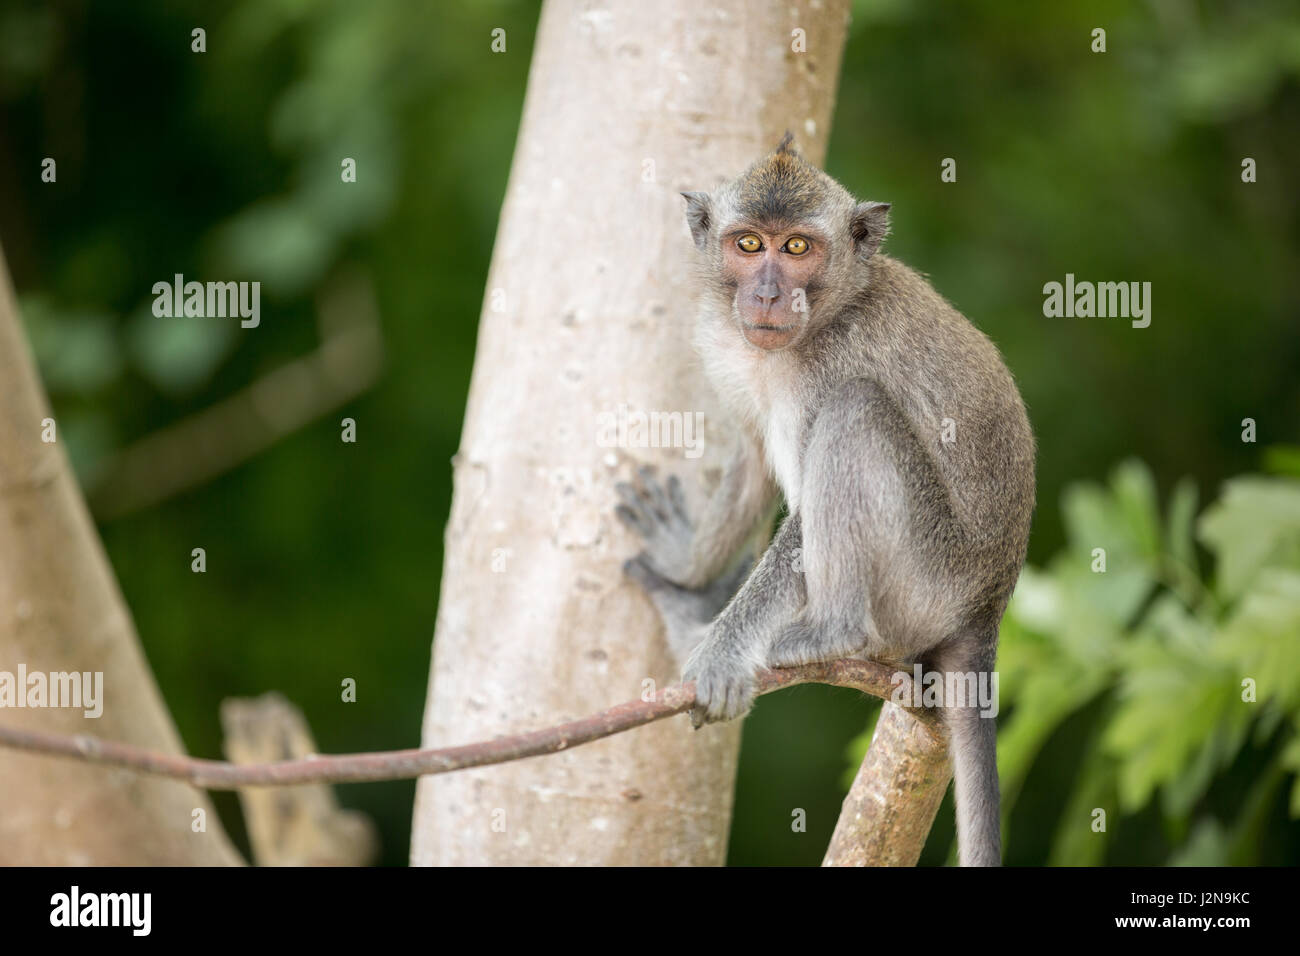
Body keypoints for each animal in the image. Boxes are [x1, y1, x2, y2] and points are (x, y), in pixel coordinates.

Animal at [614, 134, 1035, 867]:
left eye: (797, 248)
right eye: (748, 244)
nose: (768, 292)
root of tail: (987, 609)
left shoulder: (831, 364)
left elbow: (805, 512)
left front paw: (720, 654)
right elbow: (754, 462)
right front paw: (683, 564)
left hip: (928, 581)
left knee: (858, 412)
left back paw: (828, 631)